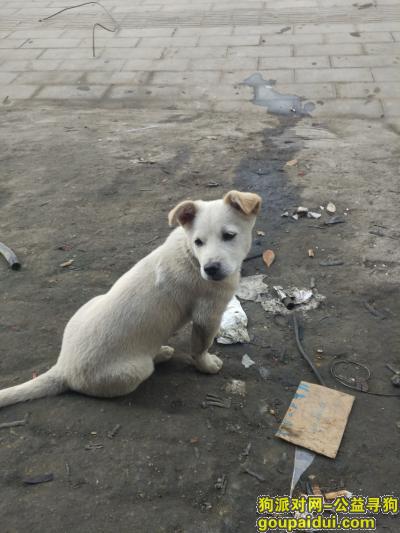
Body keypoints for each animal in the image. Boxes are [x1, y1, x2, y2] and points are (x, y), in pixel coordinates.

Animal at [0, 191, 260, 408]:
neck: (191, 256)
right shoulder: (208, 314)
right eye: (199, 242)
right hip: (136, 369)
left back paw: (162, 351)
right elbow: (200, 347)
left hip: (90, 304)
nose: (211, 269)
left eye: (229, 236)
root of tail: (62, 368)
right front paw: (207, 366)